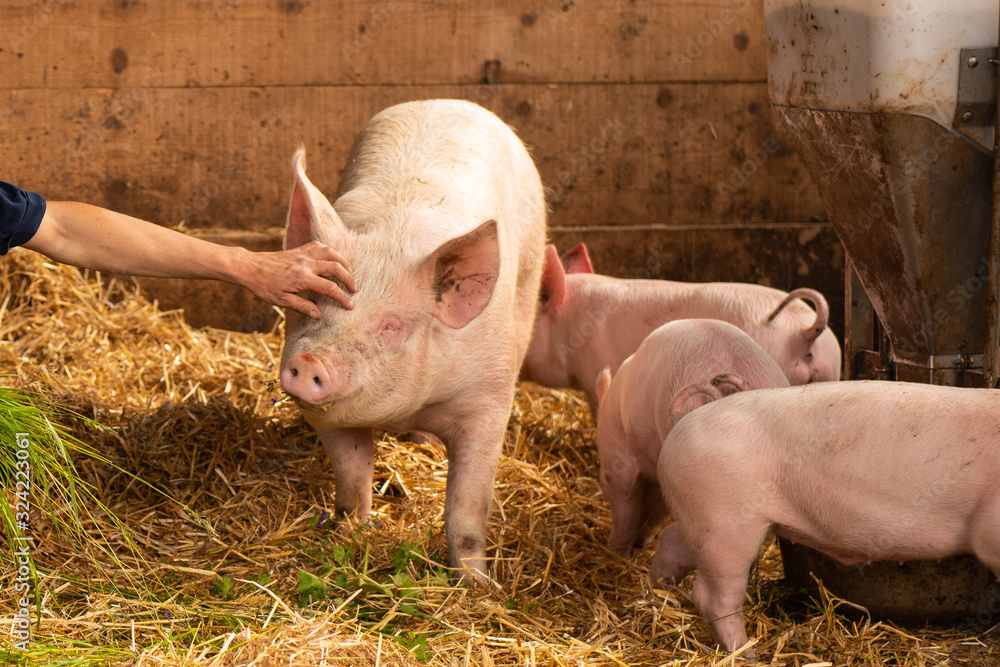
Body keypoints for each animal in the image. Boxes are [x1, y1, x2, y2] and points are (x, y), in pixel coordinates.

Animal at [278, 99, 546, 583]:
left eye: (390, 326)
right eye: (314, 301)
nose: (309, 361)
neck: (408, 410)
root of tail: (442, 101)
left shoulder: (489, 401)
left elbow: (466, 510)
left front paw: (477, 585)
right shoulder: (330, 418)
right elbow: (352, 481)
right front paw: (348, 536)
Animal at [651, 380, 1000, 661]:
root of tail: (682, 422)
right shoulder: (989, 534)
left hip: (701, 519)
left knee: (673, 541)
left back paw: (658, 587)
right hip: (725, 525)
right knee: (714, 598)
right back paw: (749, 657)